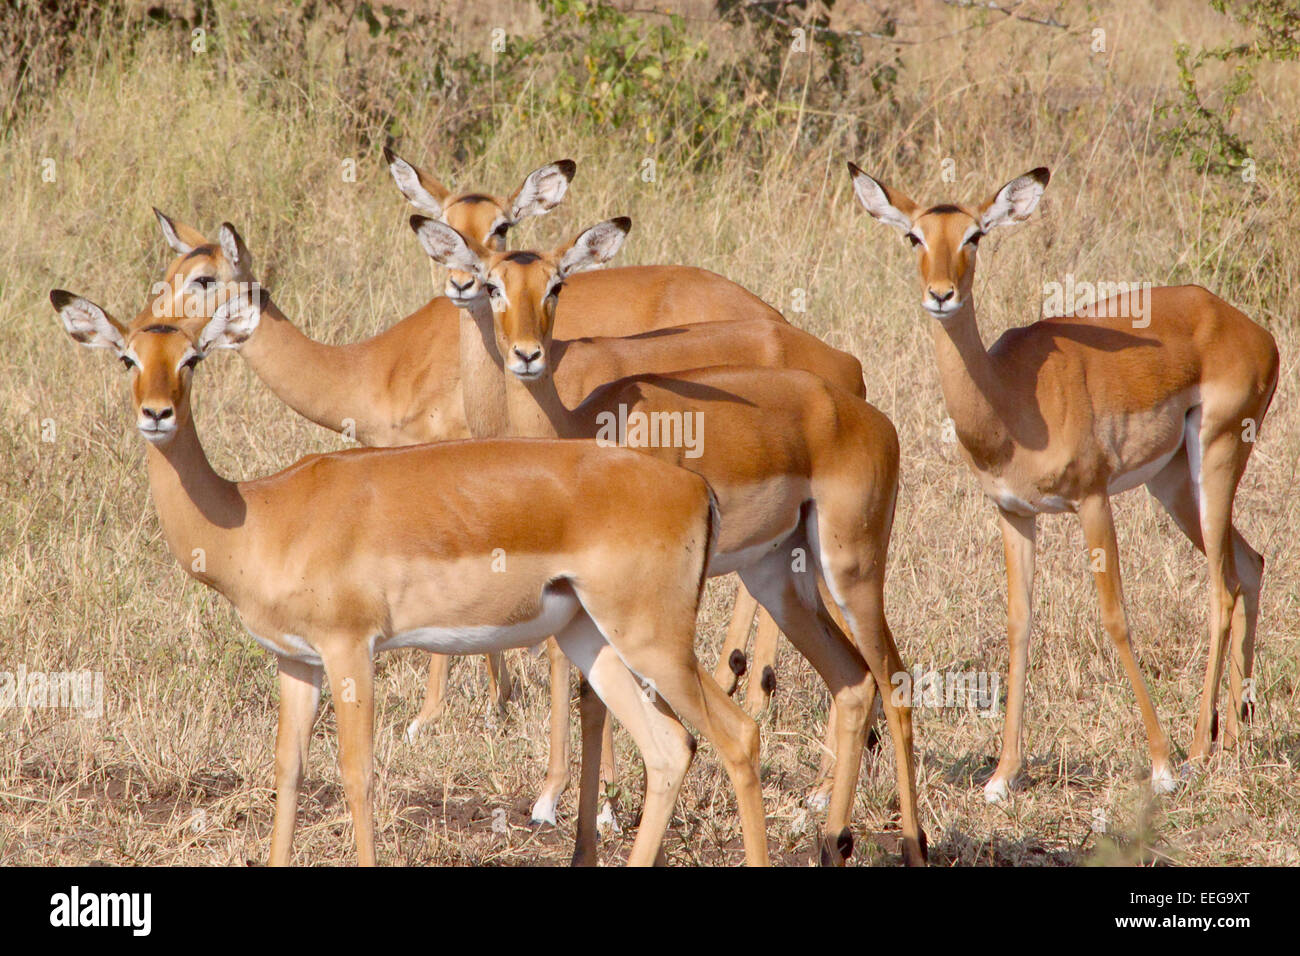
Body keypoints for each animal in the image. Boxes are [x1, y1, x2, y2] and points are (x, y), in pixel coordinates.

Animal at [49, 243, 770, 867]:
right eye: (127, 358)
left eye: (193, 358)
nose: (156, 414)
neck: (257, 515)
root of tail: (693, 489)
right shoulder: (295, 662)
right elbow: (288, 772)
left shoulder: (350, 650)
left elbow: (357, 774)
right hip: (593, 638)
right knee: (671, 748)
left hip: (653, 639)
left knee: (735, 734)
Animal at [410, 214, 926, 866]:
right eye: (494, 285)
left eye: (557, 285)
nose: (527, 355)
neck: (589, 424)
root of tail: (872, 415)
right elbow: (594, 700)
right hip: (783, 579)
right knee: (854, 684)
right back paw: (832, 840)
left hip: (852, 568)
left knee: (894, 681)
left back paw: (912, 845)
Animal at [848, 163, 1279, 802]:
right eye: (913, 237)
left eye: (975, 236)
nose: (941, 295)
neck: (1010, 398)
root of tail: (1253, 331)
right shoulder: (1015, 514)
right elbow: (1019, 625)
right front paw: (1002, 776)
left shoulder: (1092, 501)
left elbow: (1115, 617)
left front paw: (1160, 766)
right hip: (1174, 485)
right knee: (1250, 564)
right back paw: (1233, 735)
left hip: (1218, 456)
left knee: (1220, 588)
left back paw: (1198, 750)